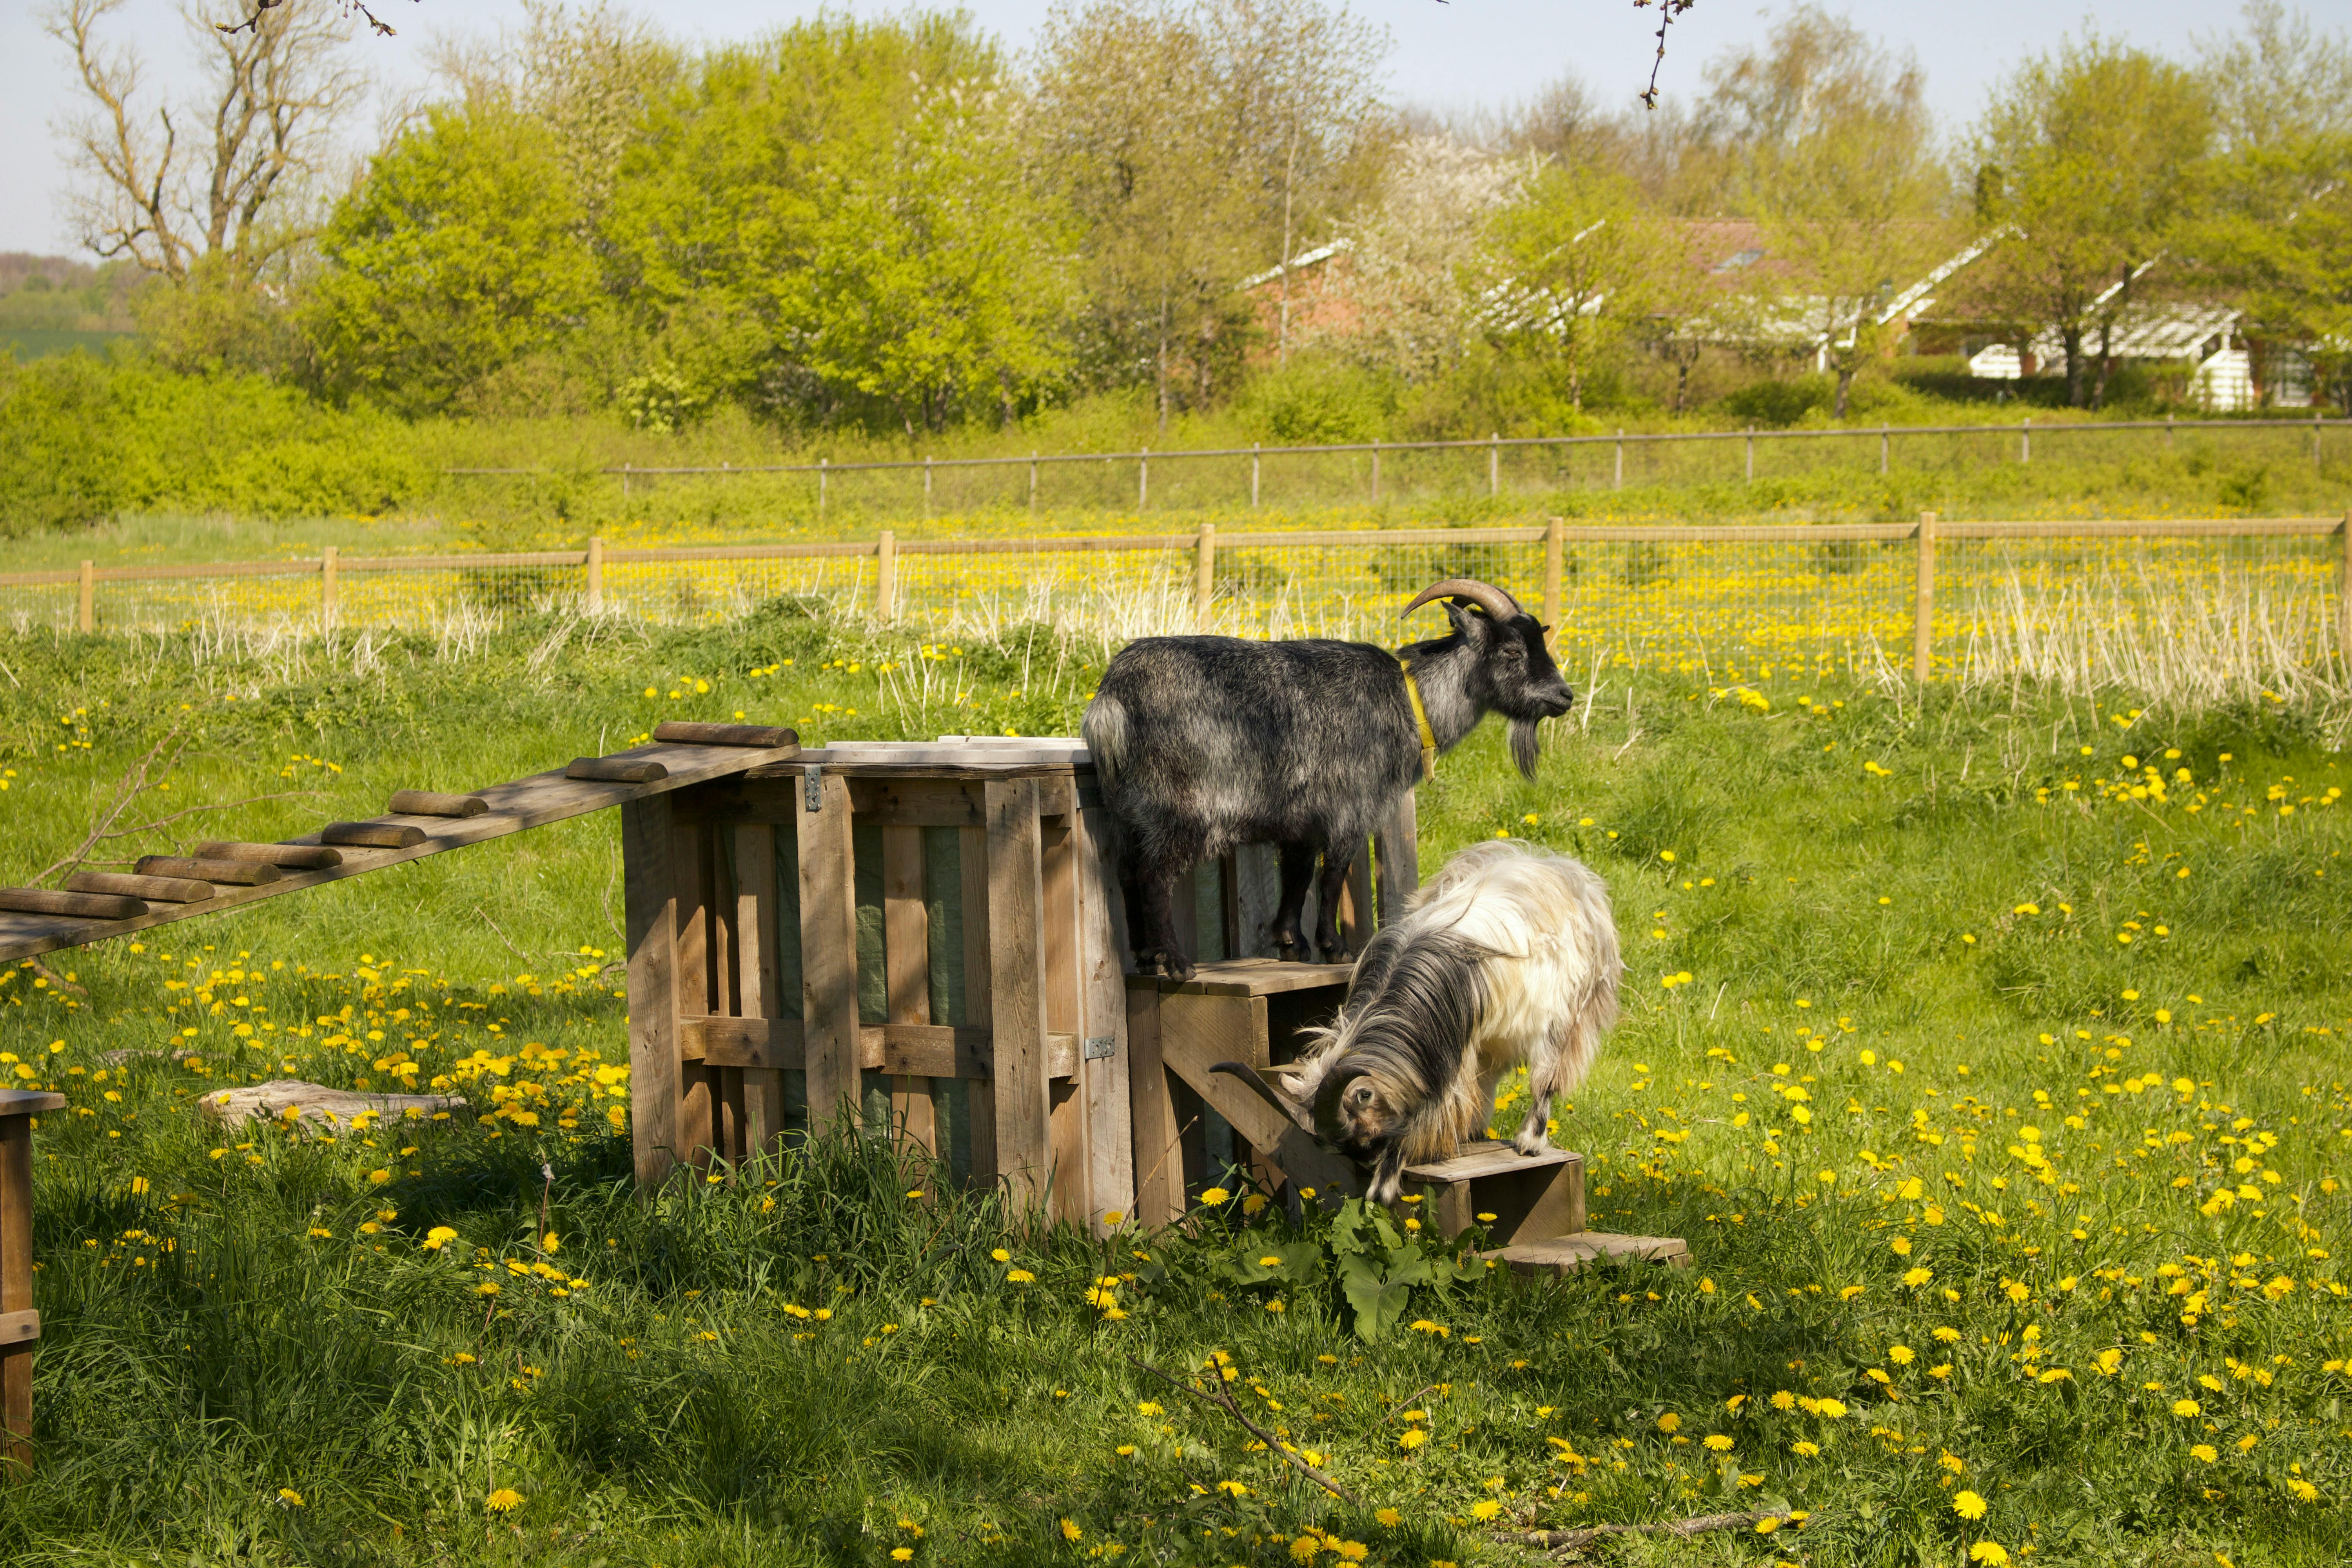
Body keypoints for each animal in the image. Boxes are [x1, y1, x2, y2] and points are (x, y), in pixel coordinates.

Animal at [1083, 577, 1572, 979]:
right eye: (1512, 650)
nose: (1564, 696)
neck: (1408, 702)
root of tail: (1112, 700)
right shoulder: (1350, 808)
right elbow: (1333, 875)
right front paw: (1335, 947)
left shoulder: (1300, 821)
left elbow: (1298, 875)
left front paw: (1291, 943)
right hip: (1181, 810)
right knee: (1154, 875)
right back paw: (1176, 962)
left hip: (1127, 812)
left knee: (1127, 872)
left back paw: (1145, 956)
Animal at [1216, 839, 1621, 1204]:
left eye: (1364, 1135)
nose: (1366, 1165)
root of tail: (1560, 869)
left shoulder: (1441, 1063)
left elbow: (1426, 1114)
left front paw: (1384, 1187)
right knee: (1490, 1074)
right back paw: (1475, 1130)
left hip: (1567, 1010)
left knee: (1546, 1075)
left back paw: (1529, 1141)